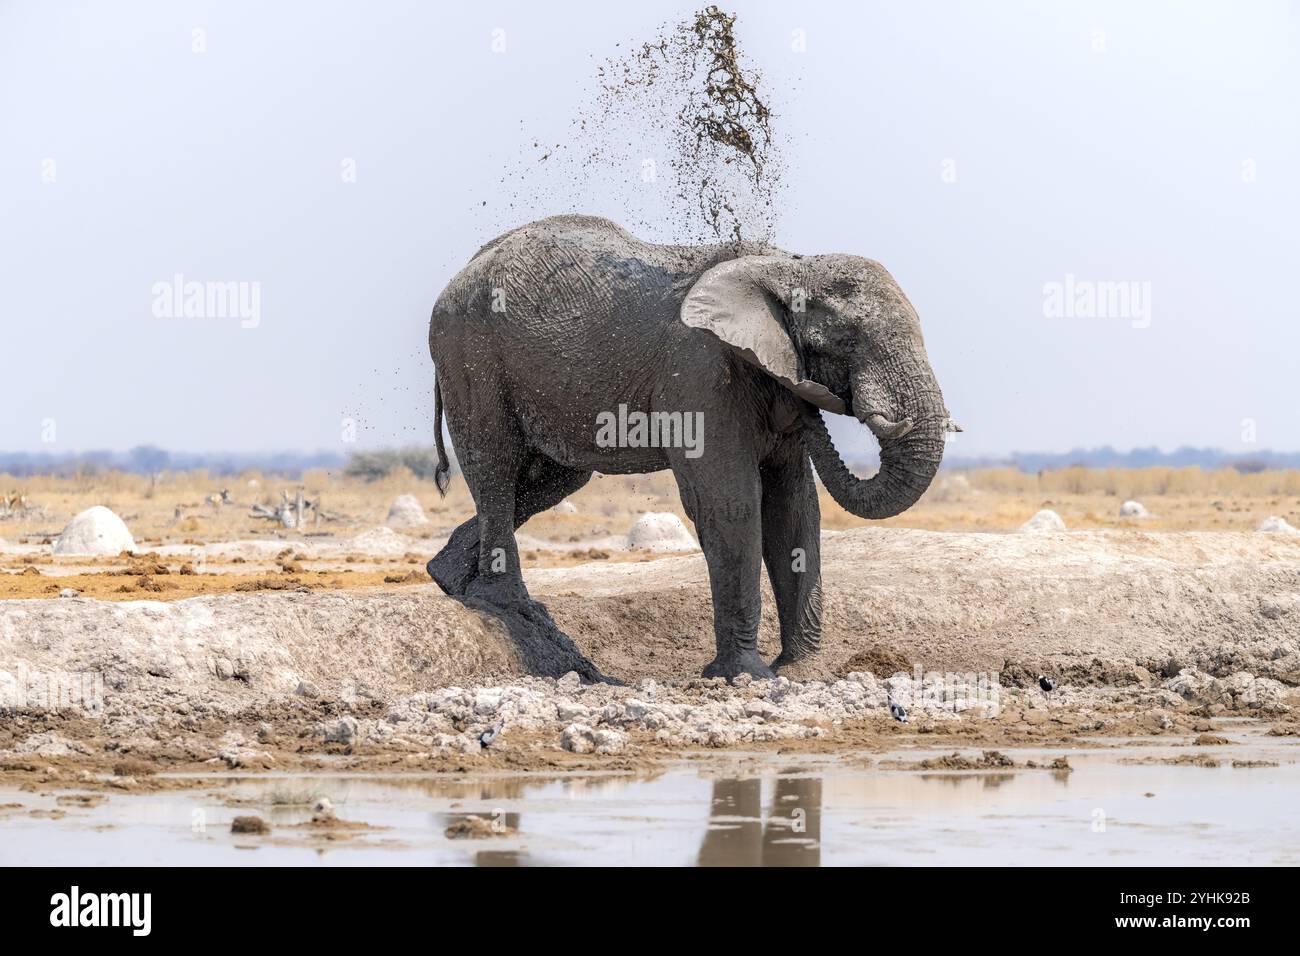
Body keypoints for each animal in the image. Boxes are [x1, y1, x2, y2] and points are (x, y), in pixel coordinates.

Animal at [427, 214, 957, 680]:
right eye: (846, 341)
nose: (814, 400)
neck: (786, 266)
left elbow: (794, 509)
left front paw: (802, 672)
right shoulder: (700, 373)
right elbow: (731, 503)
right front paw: (746, 676)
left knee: (552, 479)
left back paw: (451, 579)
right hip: (469, 353)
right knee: (495, 464)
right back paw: (508, 605)